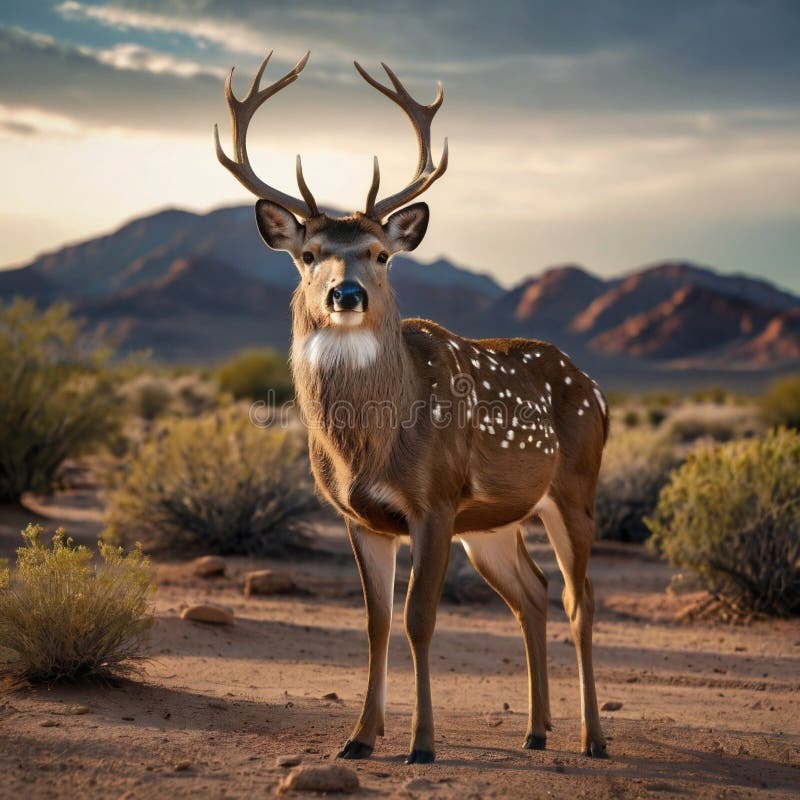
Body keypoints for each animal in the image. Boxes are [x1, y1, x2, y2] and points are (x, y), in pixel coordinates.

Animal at [214, 50, 610, 764]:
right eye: (308, 254)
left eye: (380, 254)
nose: (345, 293)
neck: (370, 446)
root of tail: (596, 389)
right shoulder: (361, 517)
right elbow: (375, 623)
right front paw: (358, 739)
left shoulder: (435, 501)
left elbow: (418, 619)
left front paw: (421, 744)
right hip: (493, 523)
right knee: (533, 594)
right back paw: (535, 731)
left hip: (574, 490)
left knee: (579, 599)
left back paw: (593, 738)